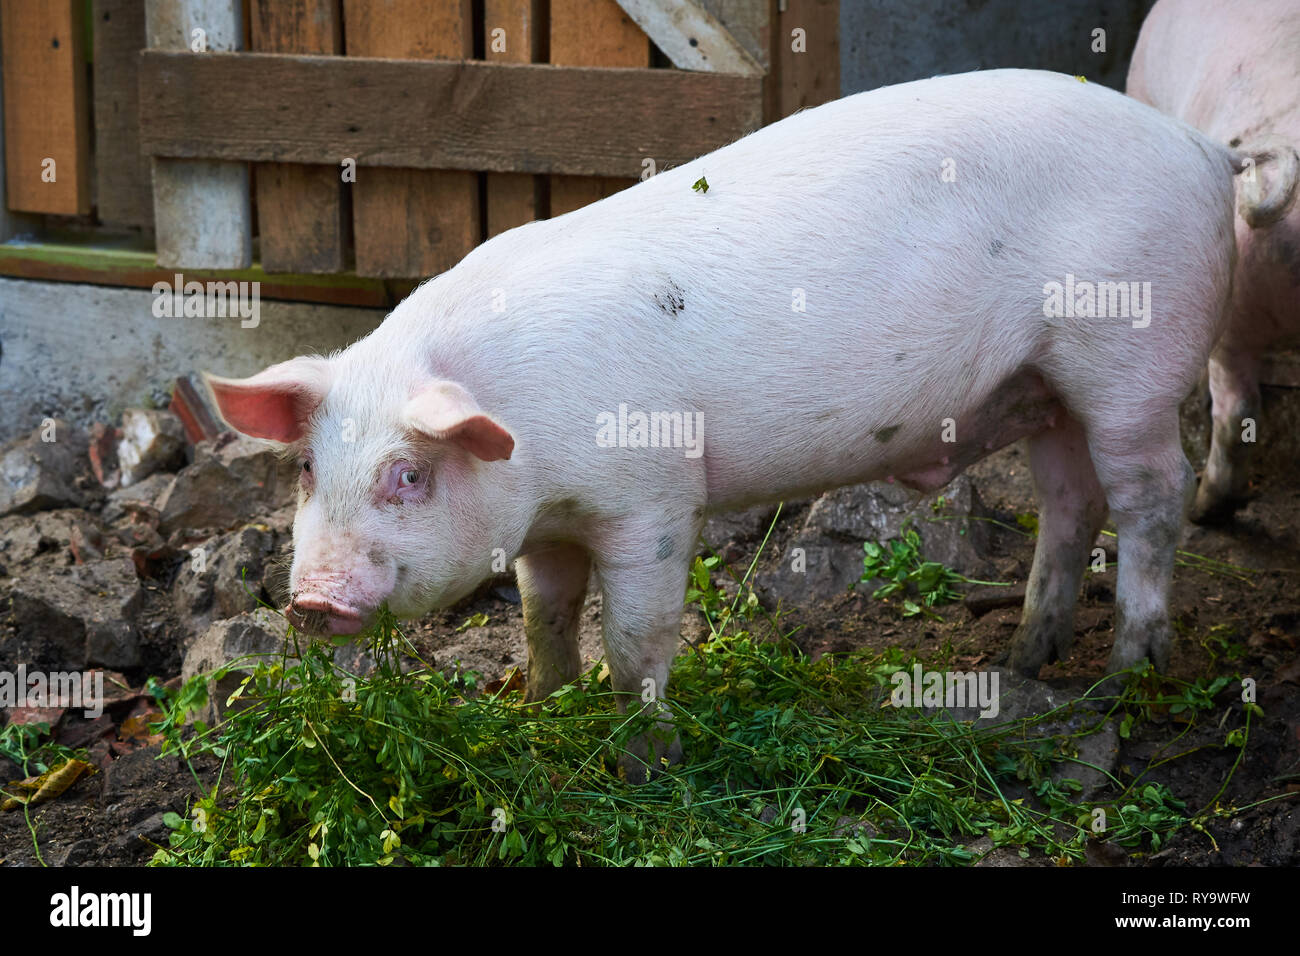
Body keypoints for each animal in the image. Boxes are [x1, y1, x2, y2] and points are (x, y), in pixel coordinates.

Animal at [209, 69, 1245, 780]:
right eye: (307, 470)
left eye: (410, 475)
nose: (311, 602)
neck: (528, 443)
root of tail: (1202, 149)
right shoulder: (547, 524)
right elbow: (545, 613)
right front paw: (540, 707)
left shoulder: (653, 499)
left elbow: (638, 637)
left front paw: (647, 763)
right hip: (1045, 384)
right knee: (1070, 502)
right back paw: (1026, 655)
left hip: (1130, 359)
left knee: (1153, 497)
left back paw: (1126, 675)